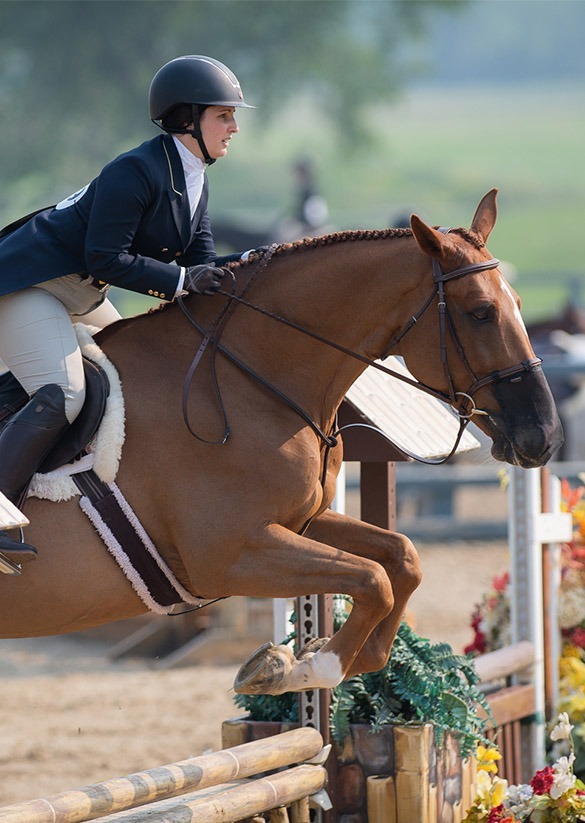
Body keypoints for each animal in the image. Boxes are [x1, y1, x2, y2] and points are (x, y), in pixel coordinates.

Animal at [0, 189, 562, 696]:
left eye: (516, 304)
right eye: (481, 312)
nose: (545, 436)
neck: (245, 378)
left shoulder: (300, 520)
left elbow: (401, 559)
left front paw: (317, 658)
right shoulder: (233, 554)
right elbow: (372, 580)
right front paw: (302, 667)